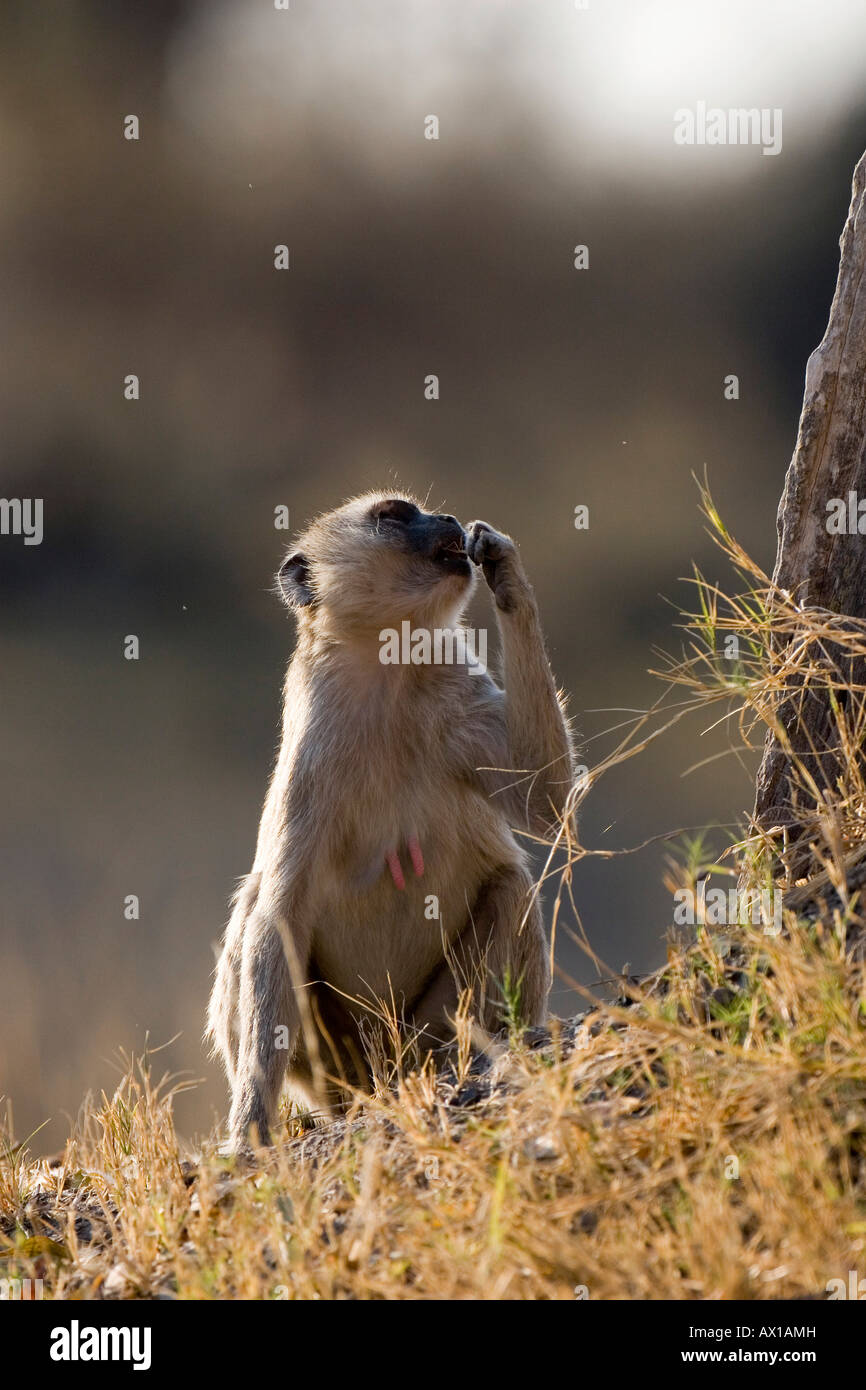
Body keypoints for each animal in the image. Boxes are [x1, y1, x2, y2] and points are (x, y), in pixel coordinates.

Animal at [206, 491, 574, 1152]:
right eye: (396, 514)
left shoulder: (454, 687)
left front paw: (503, 568)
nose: (449, 522)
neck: (389, 674)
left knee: (510, 889)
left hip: (421, 1034)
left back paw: (468, 1064)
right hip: (336, 1061)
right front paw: (249, 1125)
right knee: (253, 910)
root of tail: (382, 1072)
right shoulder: (314, 743)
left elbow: (546, 800)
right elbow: (279, 918)